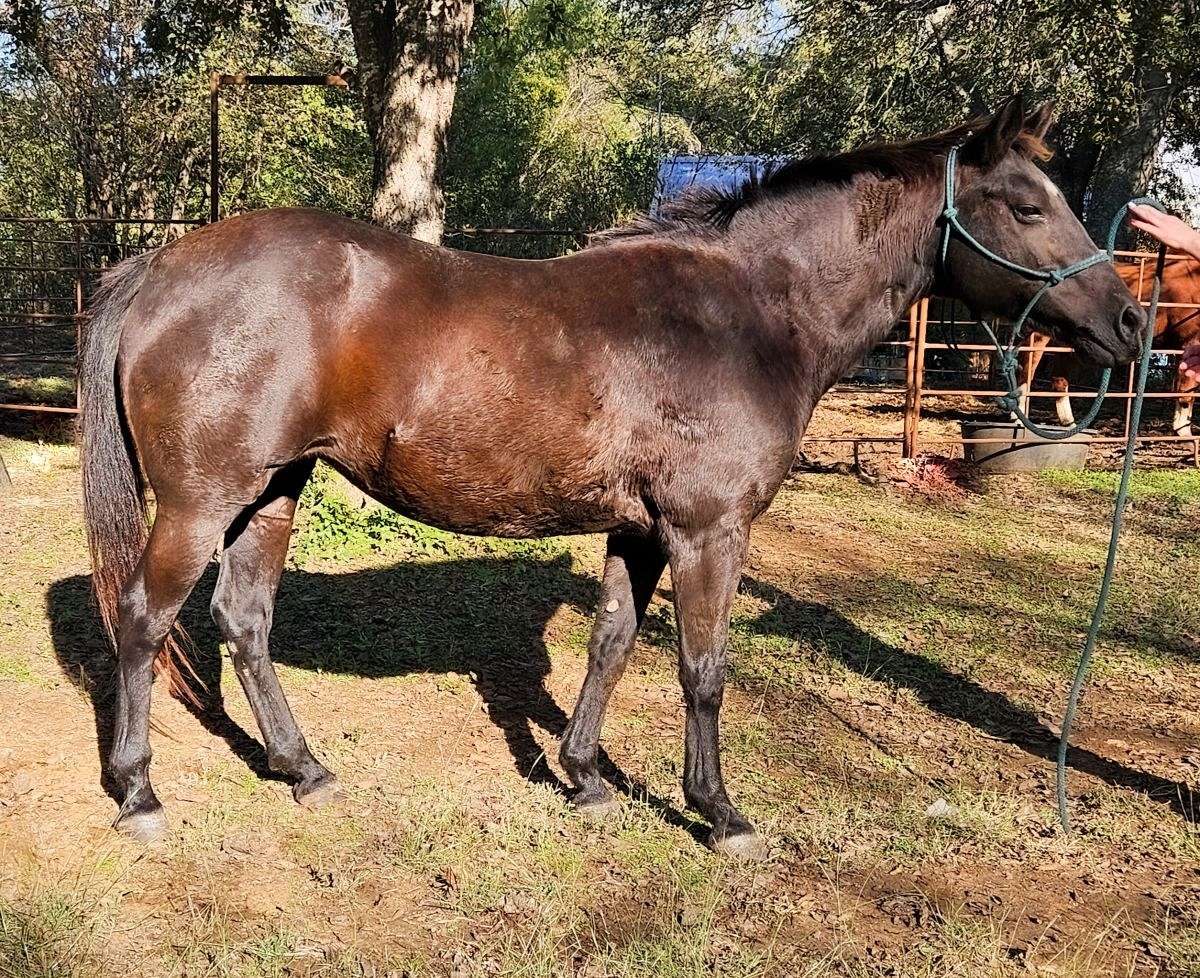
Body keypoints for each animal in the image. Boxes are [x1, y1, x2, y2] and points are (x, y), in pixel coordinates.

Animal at [79, 96, 1143, 857]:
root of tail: (162, 264)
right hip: (202, 502)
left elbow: (613, 644)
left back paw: (303, 768)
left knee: (244, 622)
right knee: (143, 619)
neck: (747, 313)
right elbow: (703, 669)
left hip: (273, 492)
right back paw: (139, 791)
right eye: (1027, 204)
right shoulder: (710, 530)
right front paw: (719, 813)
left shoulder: (640, 529)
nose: (1129, 324)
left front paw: (585, 777)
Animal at [1017, 257, 1200, 434]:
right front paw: (1184, 433)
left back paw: (1070, 426)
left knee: (1059, 379)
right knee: (1026, 369)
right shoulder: (1189, 342)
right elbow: (1185, 392)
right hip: (1038, 336)